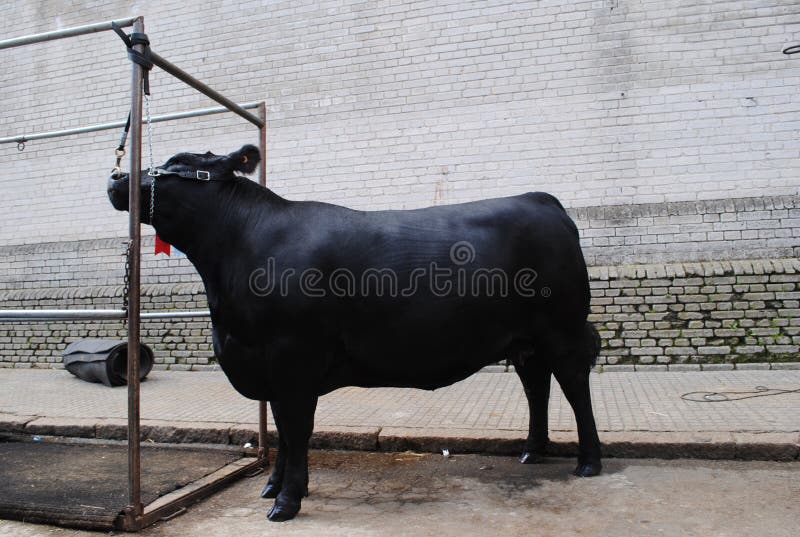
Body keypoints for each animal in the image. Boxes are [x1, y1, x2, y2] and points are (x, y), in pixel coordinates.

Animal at [107, 145, 603, 522]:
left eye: (179, 165)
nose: (116, 179)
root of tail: (542, 201)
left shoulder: (293, 357)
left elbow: (296, 428)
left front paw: (288, 500)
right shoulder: (270, 367)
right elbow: (283, 432)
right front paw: (272, 486)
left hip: (561, 329)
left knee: (575, 385)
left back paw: (589, 462)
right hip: (525, 342)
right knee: (537, 386)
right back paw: (532, 451)